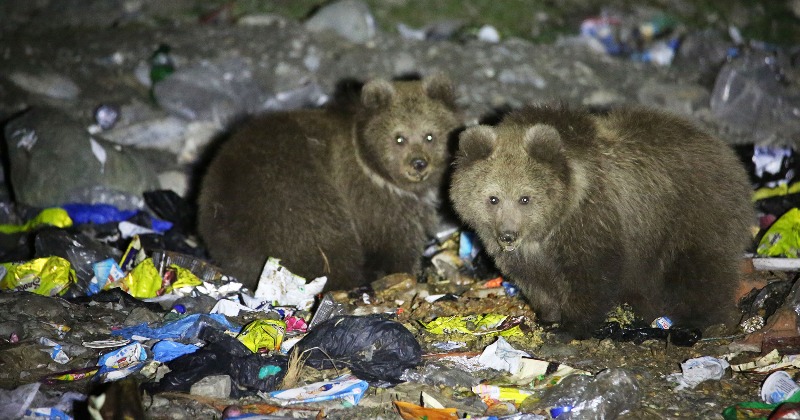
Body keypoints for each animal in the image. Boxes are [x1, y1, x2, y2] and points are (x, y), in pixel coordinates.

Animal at [197, 74, 462, 292]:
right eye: (399, 138)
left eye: (430, 135)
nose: (418, 163)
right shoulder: (372, 198)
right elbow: (394, 238)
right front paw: (404, 267)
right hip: (293, 194)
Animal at [449, 104, 754, 337]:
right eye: (493, 198)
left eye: (525, 198)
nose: (508, 235)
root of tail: (728, 155)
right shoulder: (524, 255)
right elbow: (536, 283)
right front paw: (548, 317)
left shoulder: (593, 223)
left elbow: (591, 277)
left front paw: (570, 327)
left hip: (693, 215)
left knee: (701, 269)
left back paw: (704, 320)